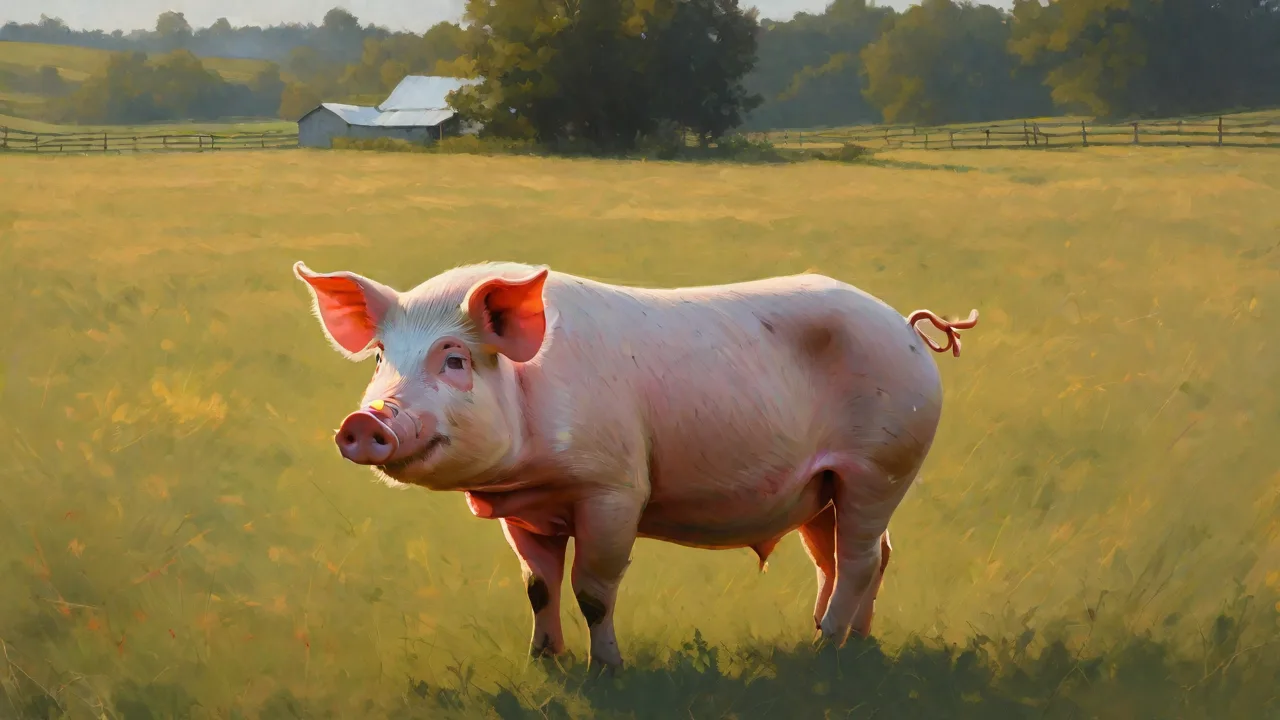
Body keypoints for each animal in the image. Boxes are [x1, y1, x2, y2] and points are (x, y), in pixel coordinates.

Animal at [293, 260, 978, 670]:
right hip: (823, 485)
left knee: (860, 557)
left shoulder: (615, 486)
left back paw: (824, 649)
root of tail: (906, 327)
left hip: (882, 465)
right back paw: (846, 643)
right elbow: (538, 586)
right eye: (381, 355)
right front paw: (543, 662)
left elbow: (593, 589)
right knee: (852, 557)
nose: (366, 420)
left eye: (454, 358)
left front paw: (607, 671)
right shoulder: (523, 509)